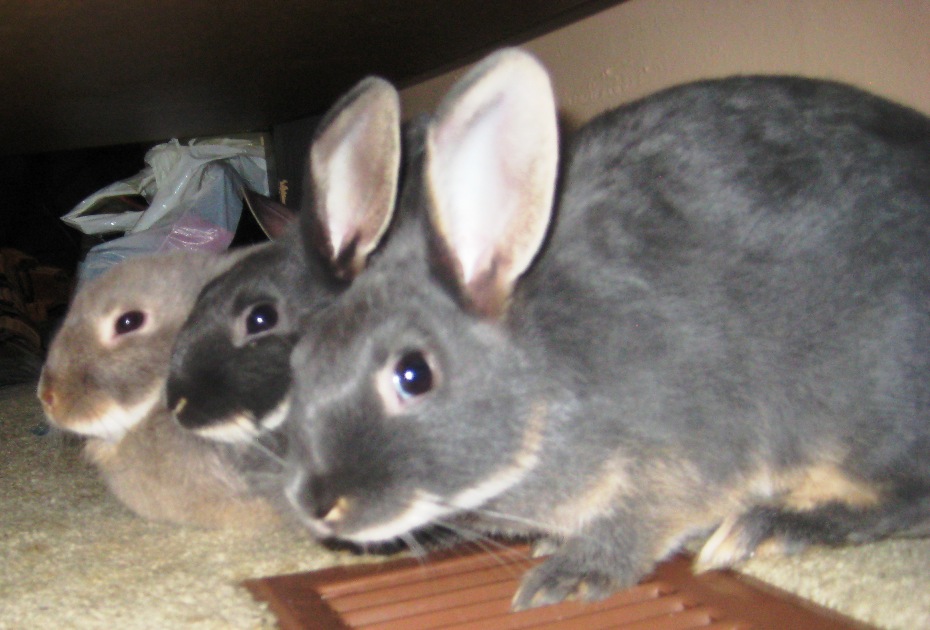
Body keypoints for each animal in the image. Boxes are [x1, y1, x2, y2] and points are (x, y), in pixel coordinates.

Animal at [280, 47, 930, 610]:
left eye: (413, 374)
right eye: (300, 360)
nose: (318, 505)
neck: (545, 385)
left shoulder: (682, 454)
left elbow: (641, 522)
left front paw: (570, 574)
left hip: (871, 417)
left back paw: (768, 527)